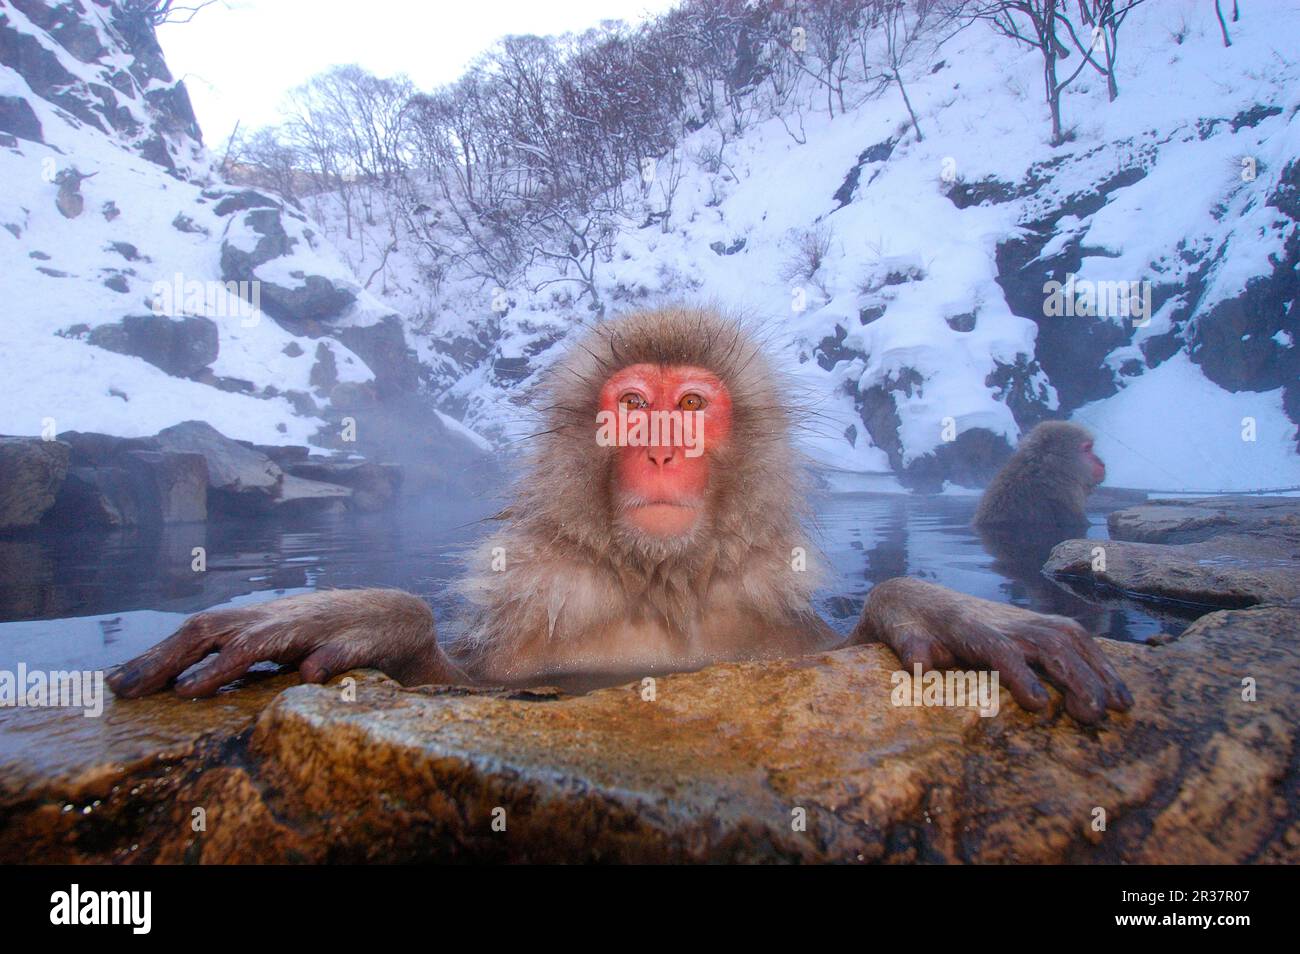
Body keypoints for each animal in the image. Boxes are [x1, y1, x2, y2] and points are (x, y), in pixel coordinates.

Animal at [107, 307, 1132, 725]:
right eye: (635, 404)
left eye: (693, 405)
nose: (664, 449)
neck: (659, 585)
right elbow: (456, 676)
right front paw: (357, 616)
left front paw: (940, 608)